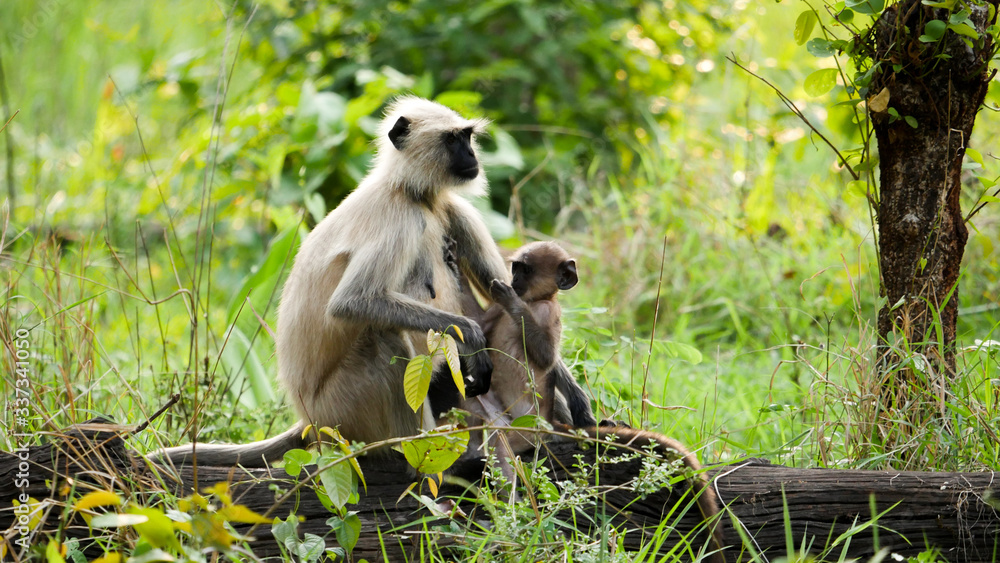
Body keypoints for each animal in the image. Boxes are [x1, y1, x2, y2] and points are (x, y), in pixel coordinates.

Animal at [151, 96, 510, 467]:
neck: (412, 194)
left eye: (467, 137)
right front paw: (471, 336)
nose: (472, 155)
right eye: (453, 140)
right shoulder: (400, 219)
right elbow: (350, 302)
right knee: (385, 336)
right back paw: (415, 452)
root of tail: (309, 421)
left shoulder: (452, 207)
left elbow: (501, 292)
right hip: (343, 409)